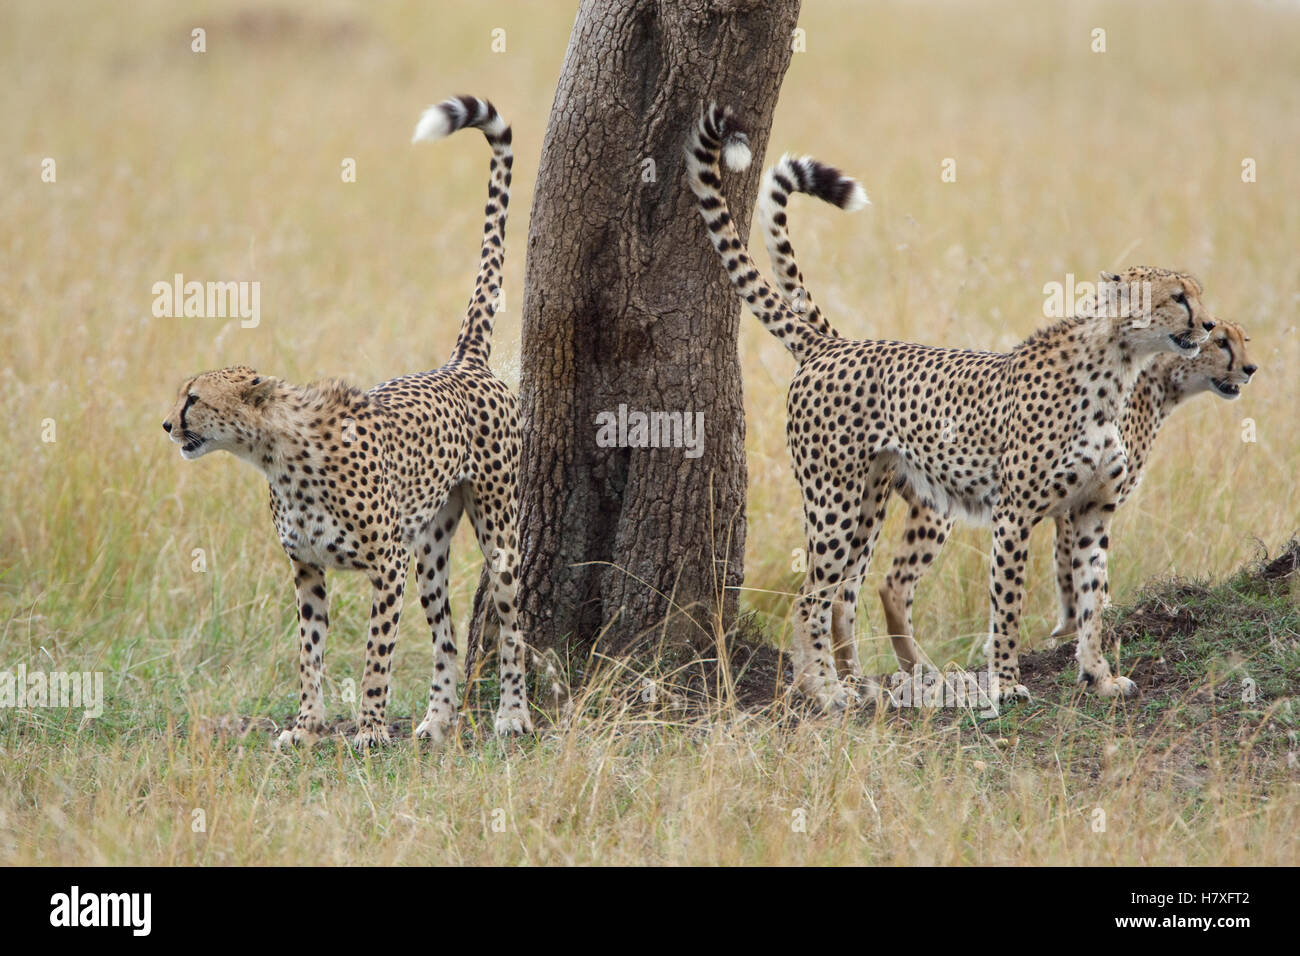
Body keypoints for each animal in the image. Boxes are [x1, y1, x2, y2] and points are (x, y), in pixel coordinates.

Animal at [163, 95, 531, 749]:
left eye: (193, 399)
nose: (166, 426)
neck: (278, 456)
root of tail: (462, 361)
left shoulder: (385, 564)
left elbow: (375, 655)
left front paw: (369, 730)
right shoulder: (307, 569)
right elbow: (308, 653)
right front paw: (306, 727)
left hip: (496, 526)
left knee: (512, 623)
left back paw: (513, 715)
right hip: (430, 546)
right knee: (446, 636)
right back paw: (436, 723)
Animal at [685, 103, 1215, 711]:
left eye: (1197, 294)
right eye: (1178, 297)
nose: (1207, 324)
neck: (1116, 373)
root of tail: (831, 344)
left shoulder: (1091, 513)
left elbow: (1092, 602)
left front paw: (1098, 675)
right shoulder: (1015, 514)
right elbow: (1008, 604)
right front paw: (1005, 682)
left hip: (870, 500)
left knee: (845, 592)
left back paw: (861, 683)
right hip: (833, 499)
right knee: (810, 596)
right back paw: (825, 692)